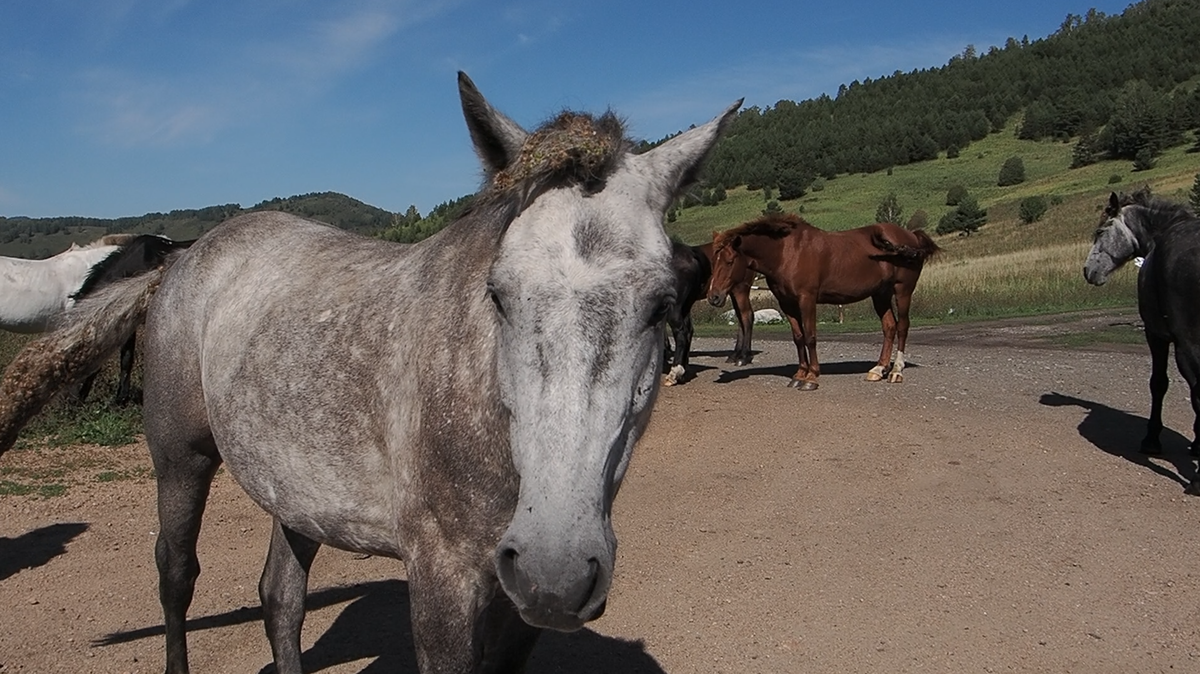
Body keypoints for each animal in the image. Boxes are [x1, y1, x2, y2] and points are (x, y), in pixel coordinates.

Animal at [705, 209, 940, 388]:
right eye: (714, 261)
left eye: (729, 260)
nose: (713, 297)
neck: (786, 252)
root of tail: (912, 235)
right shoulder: (786, 303)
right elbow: (798, 337)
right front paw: (799, 374)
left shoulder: (807, 299)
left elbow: (810, 337)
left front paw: (811, 377)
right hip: (880, 294)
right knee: (889, 327)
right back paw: (878, 369)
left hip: (902, 291)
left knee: (902, 327)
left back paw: (896, 371)